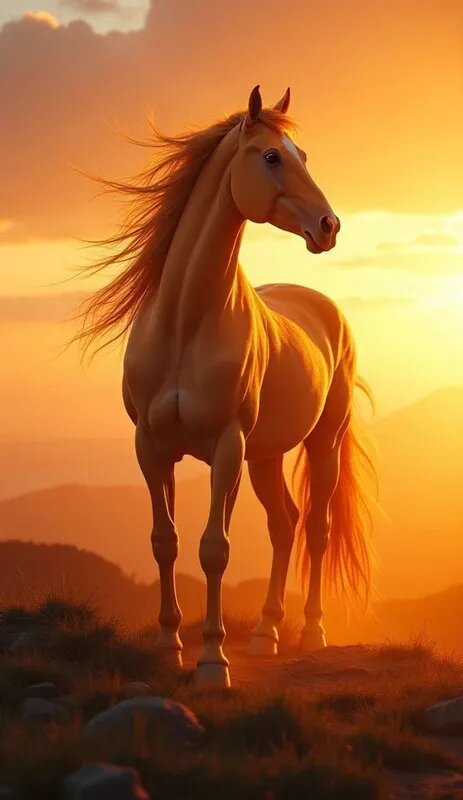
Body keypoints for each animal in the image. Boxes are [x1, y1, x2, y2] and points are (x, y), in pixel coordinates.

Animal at [79, 85, 374, 688]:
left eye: (303, 155)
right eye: (272, 157)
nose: (329, 226)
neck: (187, 323)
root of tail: (325, 307)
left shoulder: (225, 448)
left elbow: (215, 548)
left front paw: (213, 660)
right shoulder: (152, 447)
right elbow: (164, 541)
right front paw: (169, 645)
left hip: (321, 443)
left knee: (315, 528)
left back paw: (310, 632)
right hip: (264, 457)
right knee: (285, 525)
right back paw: (265, 634)